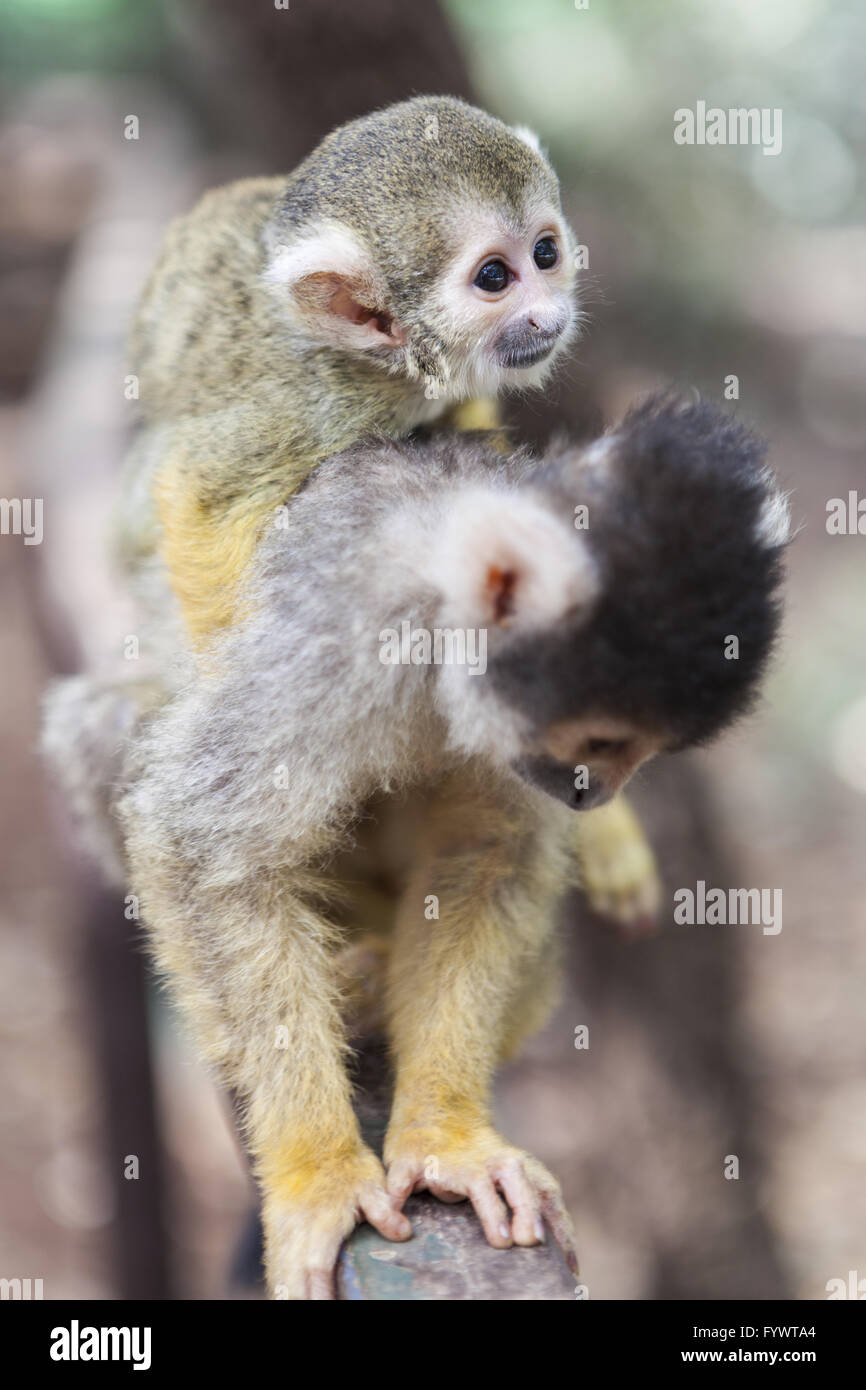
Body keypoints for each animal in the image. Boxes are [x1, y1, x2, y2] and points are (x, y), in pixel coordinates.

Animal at [44, 393, 789, 1298]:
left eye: (635, 752)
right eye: (602, 741)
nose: (595, 792)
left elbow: (487, 856)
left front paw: (446, 1141)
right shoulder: (350, 630)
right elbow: (202, 842)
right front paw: (319, 1175)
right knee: (118, 725)